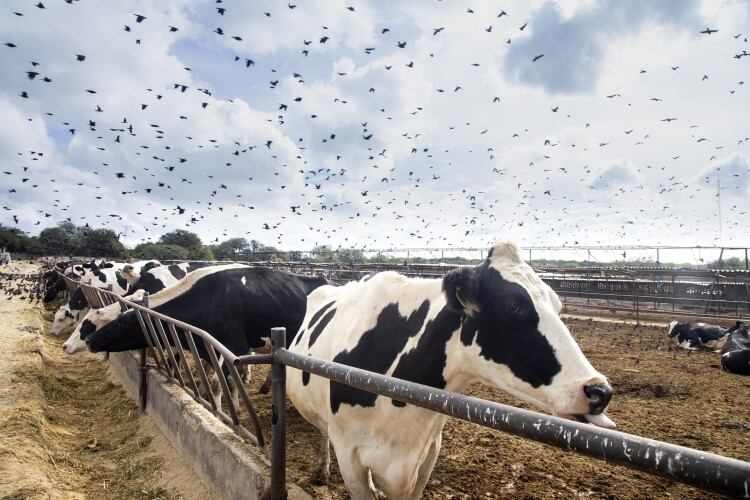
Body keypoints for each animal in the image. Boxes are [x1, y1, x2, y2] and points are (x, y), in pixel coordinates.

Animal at [287, 241, 615, 499]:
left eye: (558, 306)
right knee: (322, 429)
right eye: (513, 306)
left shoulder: (426, 455)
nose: (598, 390)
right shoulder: (351, 456)